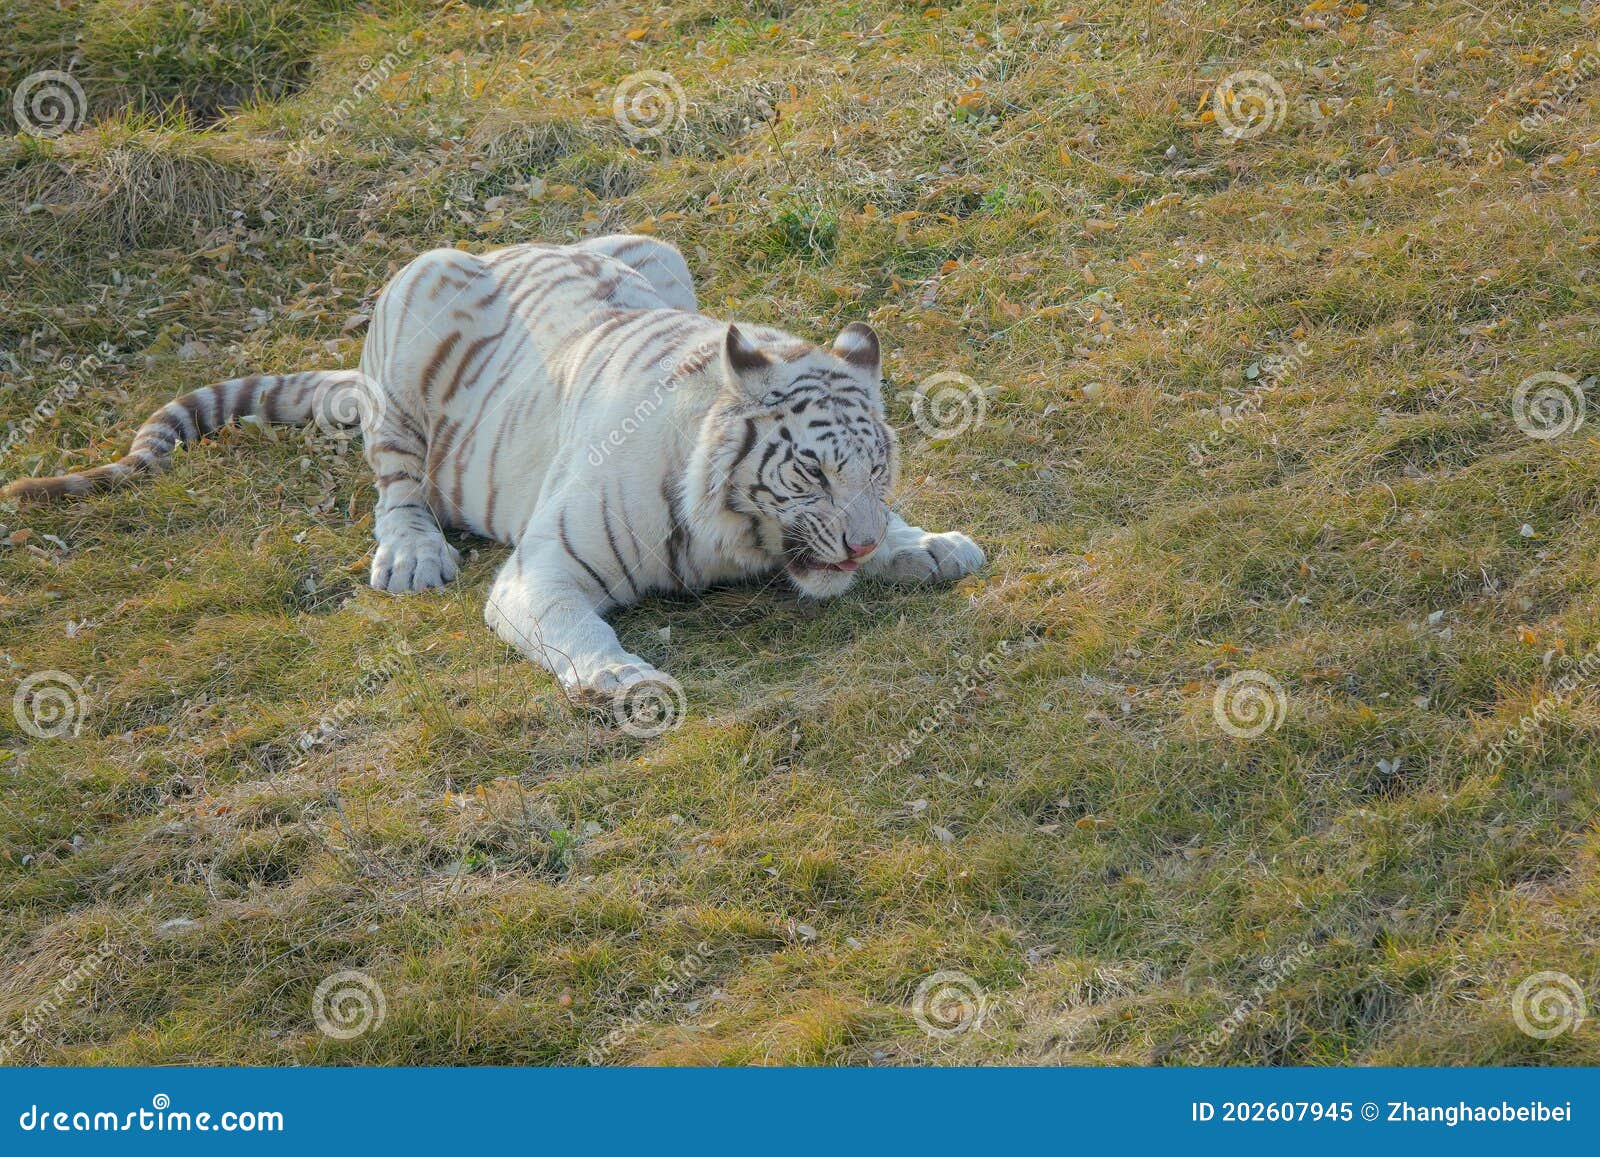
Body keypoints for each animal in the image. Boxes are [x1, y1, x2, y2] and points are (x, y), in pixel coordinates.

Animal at [3, 234, 986, 702]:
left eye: (877, 472)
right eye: (811, 475)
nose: (858, 550)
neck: (734, 533)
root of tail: (512, 245)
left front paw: (929, 543)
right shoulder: (543, 570)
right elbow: (577, 630)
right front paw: (625, 681)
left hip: (656, 250)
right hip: (414, 306)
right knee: (394, 481)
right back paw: (410, 555)